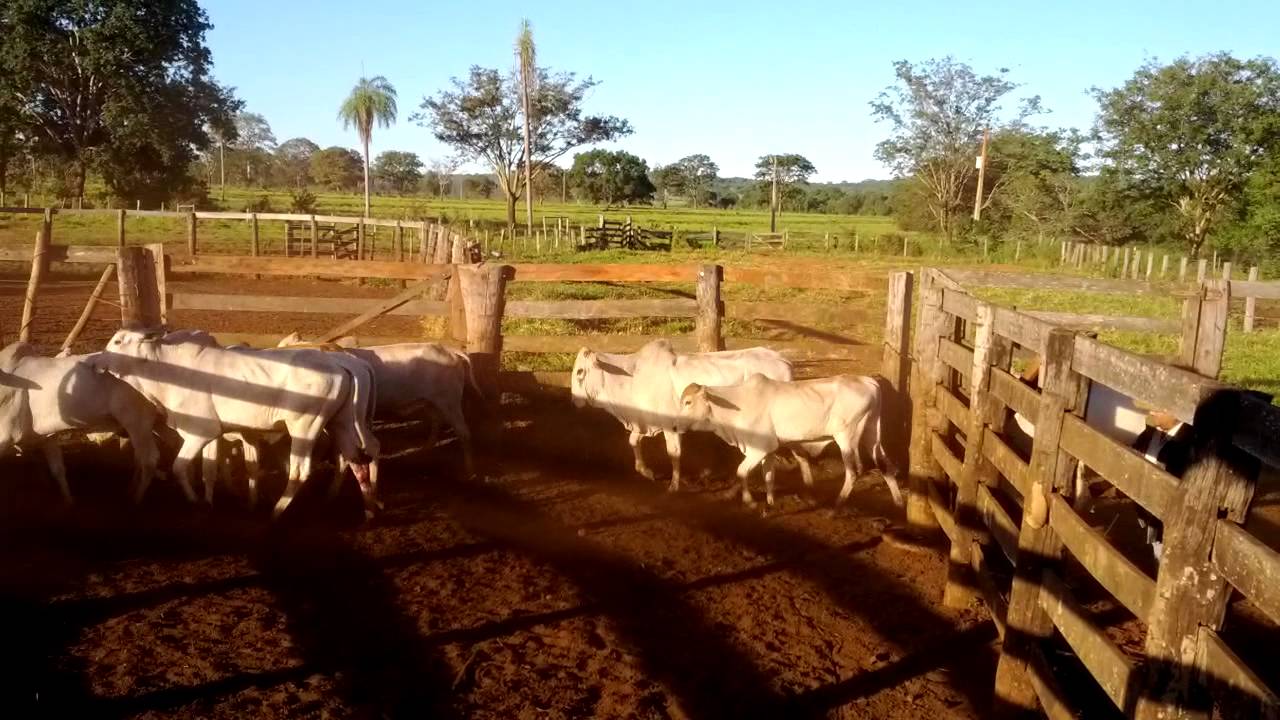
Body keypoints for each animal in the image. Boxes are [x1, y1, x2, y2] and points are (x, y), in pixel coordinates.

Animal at [0, 342, 159, 503]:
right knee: (141, 458)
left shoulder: (5, 438)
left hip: (138, 424)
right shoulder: (47, 437)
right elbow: (58, 470)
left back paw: (136, 499)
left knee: (149, 461)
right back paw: (131, 489)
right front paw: (69, 502)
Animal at [92, 328, 372, 518]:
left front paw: (195, 502)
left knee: (300, 471)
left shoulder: (200, 432)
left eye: (118, 341)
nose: (95, 362)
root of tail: (339, 363)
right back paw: (369, 510)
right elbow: (209, 470)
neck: (167, 370)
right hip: (340, 423)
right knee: (357, 461)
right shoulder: (213, 435)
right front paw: (209, 502)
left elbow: (179, 467)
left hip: (305, 428)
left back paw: (276, 512)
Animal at [277, 332, 480, 479]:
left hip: (450, 402)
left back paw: (470, 472)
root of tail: (450, 351)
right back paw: (425, 450)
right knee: (437, 421)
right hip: (432, 402)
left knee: (464, 432)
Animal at [571, 339, 792, 492]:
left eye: (580, 372)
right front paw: (646, 471)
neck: (632, 378)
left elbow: (673, 453)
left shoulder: (669, 425)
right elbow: (633, 441)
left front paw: (674, 485)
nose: (574, 400)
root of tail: (783, 360)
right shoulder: (645, 421)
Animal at [676, 373, 901, 507]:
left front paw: (750, 502)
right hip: (872, 435)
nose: (676, 426)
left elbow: (741, 472)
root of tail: (869, 381)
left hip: (846, 436)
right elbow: (768, 476)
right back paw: (898, 504)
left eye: (688, 402)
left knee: (854, 471)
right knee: (885, 466)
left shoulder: (760, 448)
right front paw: (770, 502)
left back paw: (837, 504)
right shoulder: (769, 450)